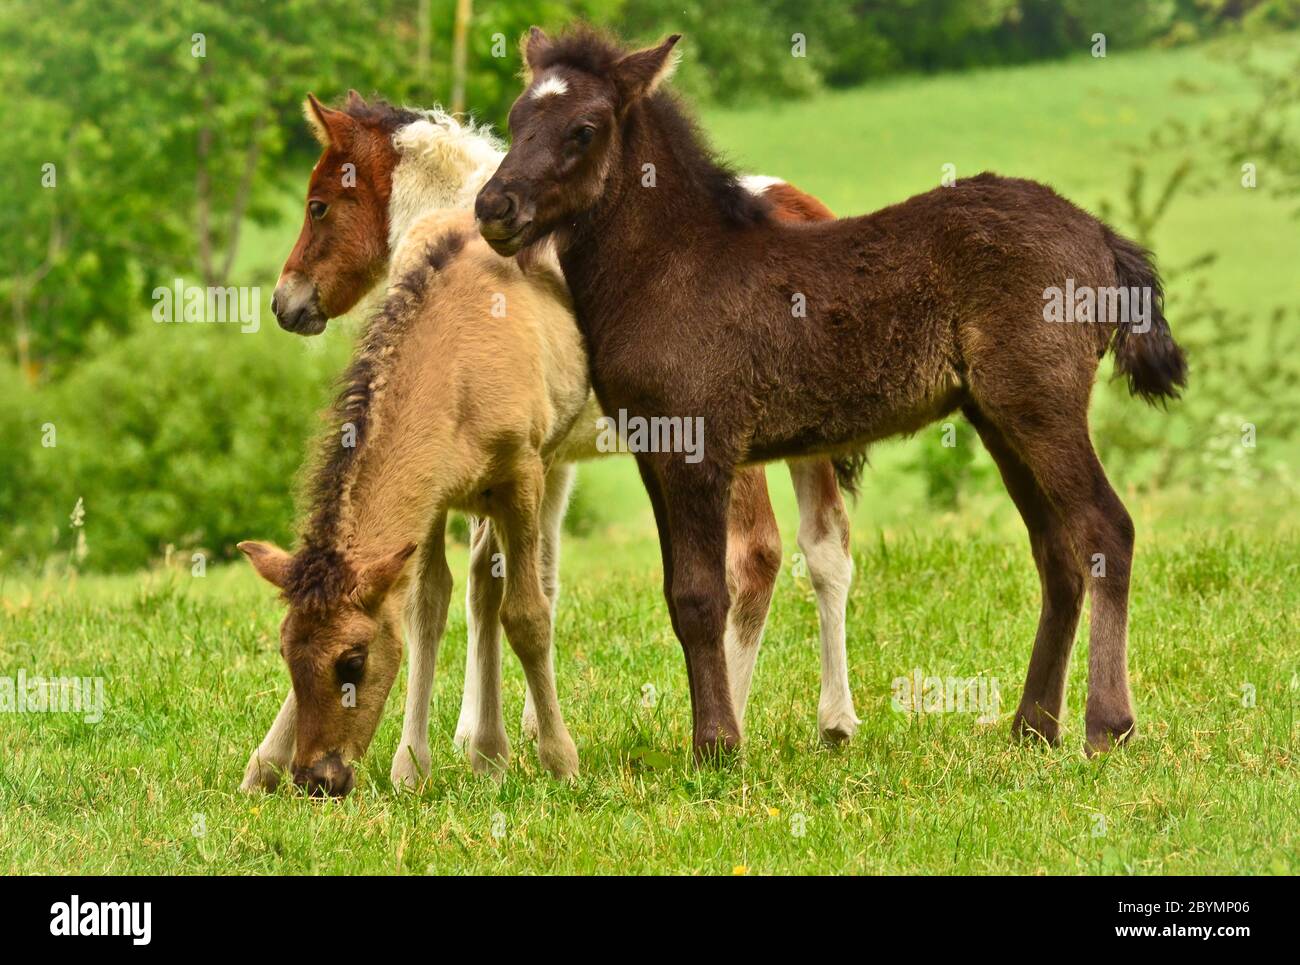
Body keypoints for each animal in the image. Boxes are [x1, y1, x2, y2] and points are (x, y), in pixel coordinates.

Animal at [240, 93, 859, 796]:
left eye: (318, 204)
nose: (286, 301)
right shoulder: (542, 461)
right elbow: (509, 578)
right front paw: (493, 738)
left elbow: (483, 587)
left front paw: (270, 758)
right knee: (827, 547)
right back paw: (835, 722)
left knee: (756, 555)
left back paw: (732, 718)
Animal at [474, 28, 1188, 760]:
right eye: (516, 117)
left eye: (584, 129)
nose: (494, 207)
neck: (670, 269)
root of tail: (1101, 238)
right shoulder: (653, 451)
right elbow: (678, 596)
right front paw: (713, 736)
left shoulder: (700, 446)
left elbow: (702, 594)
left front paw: (717, 745)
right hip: (998, 416)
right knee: (1056, 551)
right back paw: (1033, 724)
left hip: (1041, 404)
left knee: (1106, 526)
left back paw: (1106, 722)